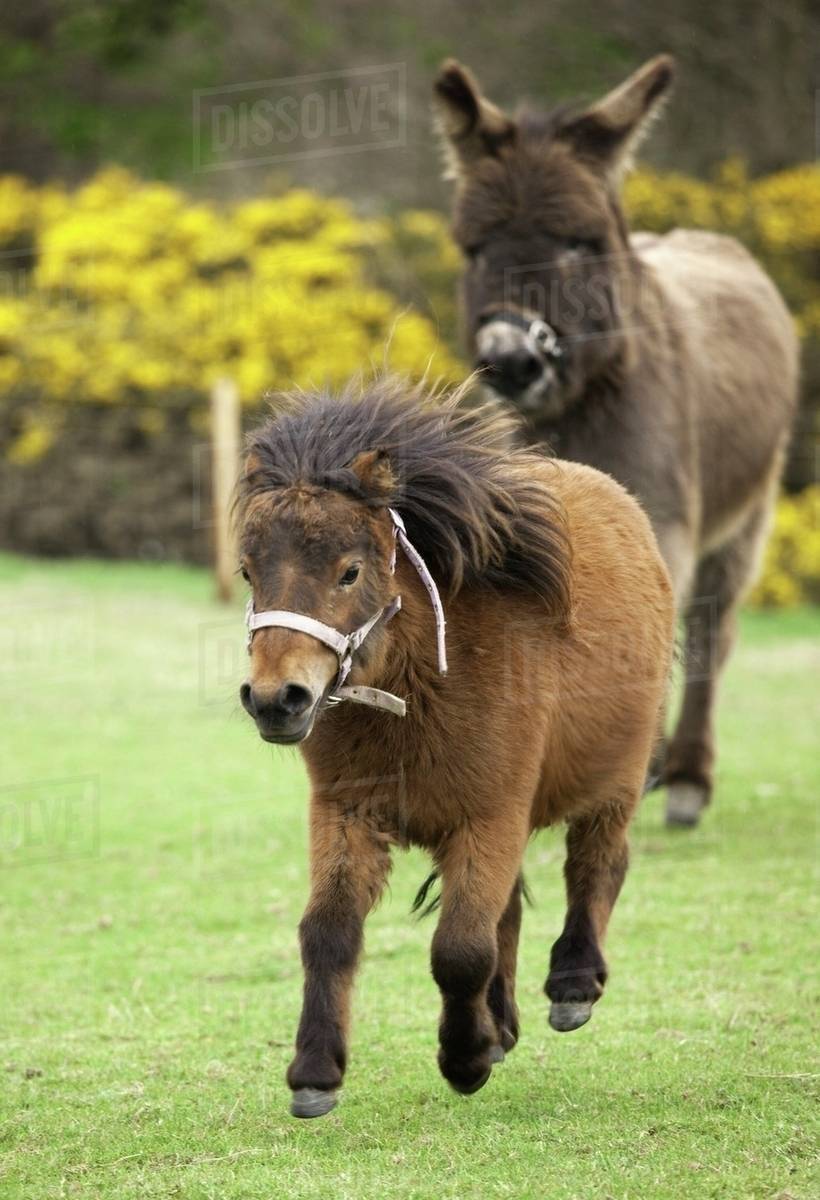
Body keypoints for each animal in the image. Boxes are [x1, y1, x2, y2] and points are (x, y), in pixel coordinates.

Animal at [235, 376, 674, 1118]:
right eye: (247, 573)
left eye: (350, 572)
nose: (276, 700)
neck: (419, 686)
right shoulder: (346, 814)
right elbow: (328, 932)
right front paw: (316, 1071)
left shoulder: (488, 816)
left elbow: (460, 949)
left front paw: (464, 1058)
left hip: (614, 781)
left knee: (598, 864)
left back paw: (573, 982)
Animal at [433, 55, 799, 827]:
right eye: (474, 250)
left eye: (579, 243)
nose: (512, 360)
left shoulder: (665, 518)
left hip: (745, 516)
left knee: (713, 629)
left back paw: (686, 779)